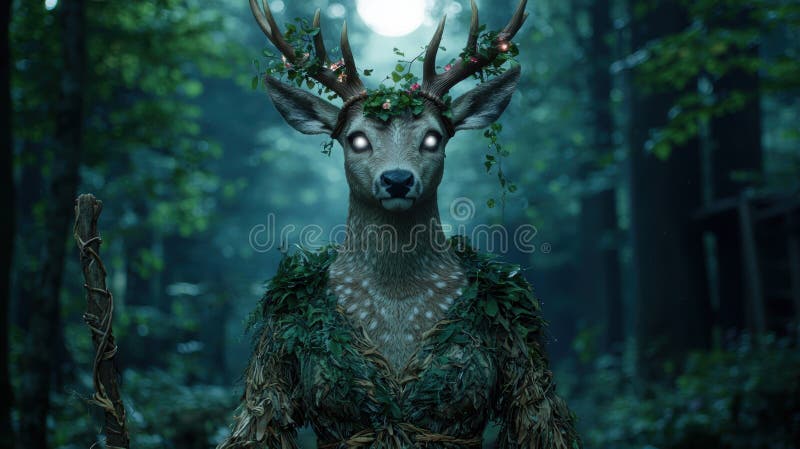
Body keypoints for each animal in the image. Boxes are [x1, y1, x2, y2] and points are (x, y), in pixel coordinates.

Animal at [216, 1, 581, 448]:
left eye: (433, 137)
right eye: (356, 138)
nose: (396, 180)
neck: (396, 295)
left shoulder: (521, 330)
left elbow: (538, 417)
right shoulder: (276, 332)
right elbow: (262, 417)